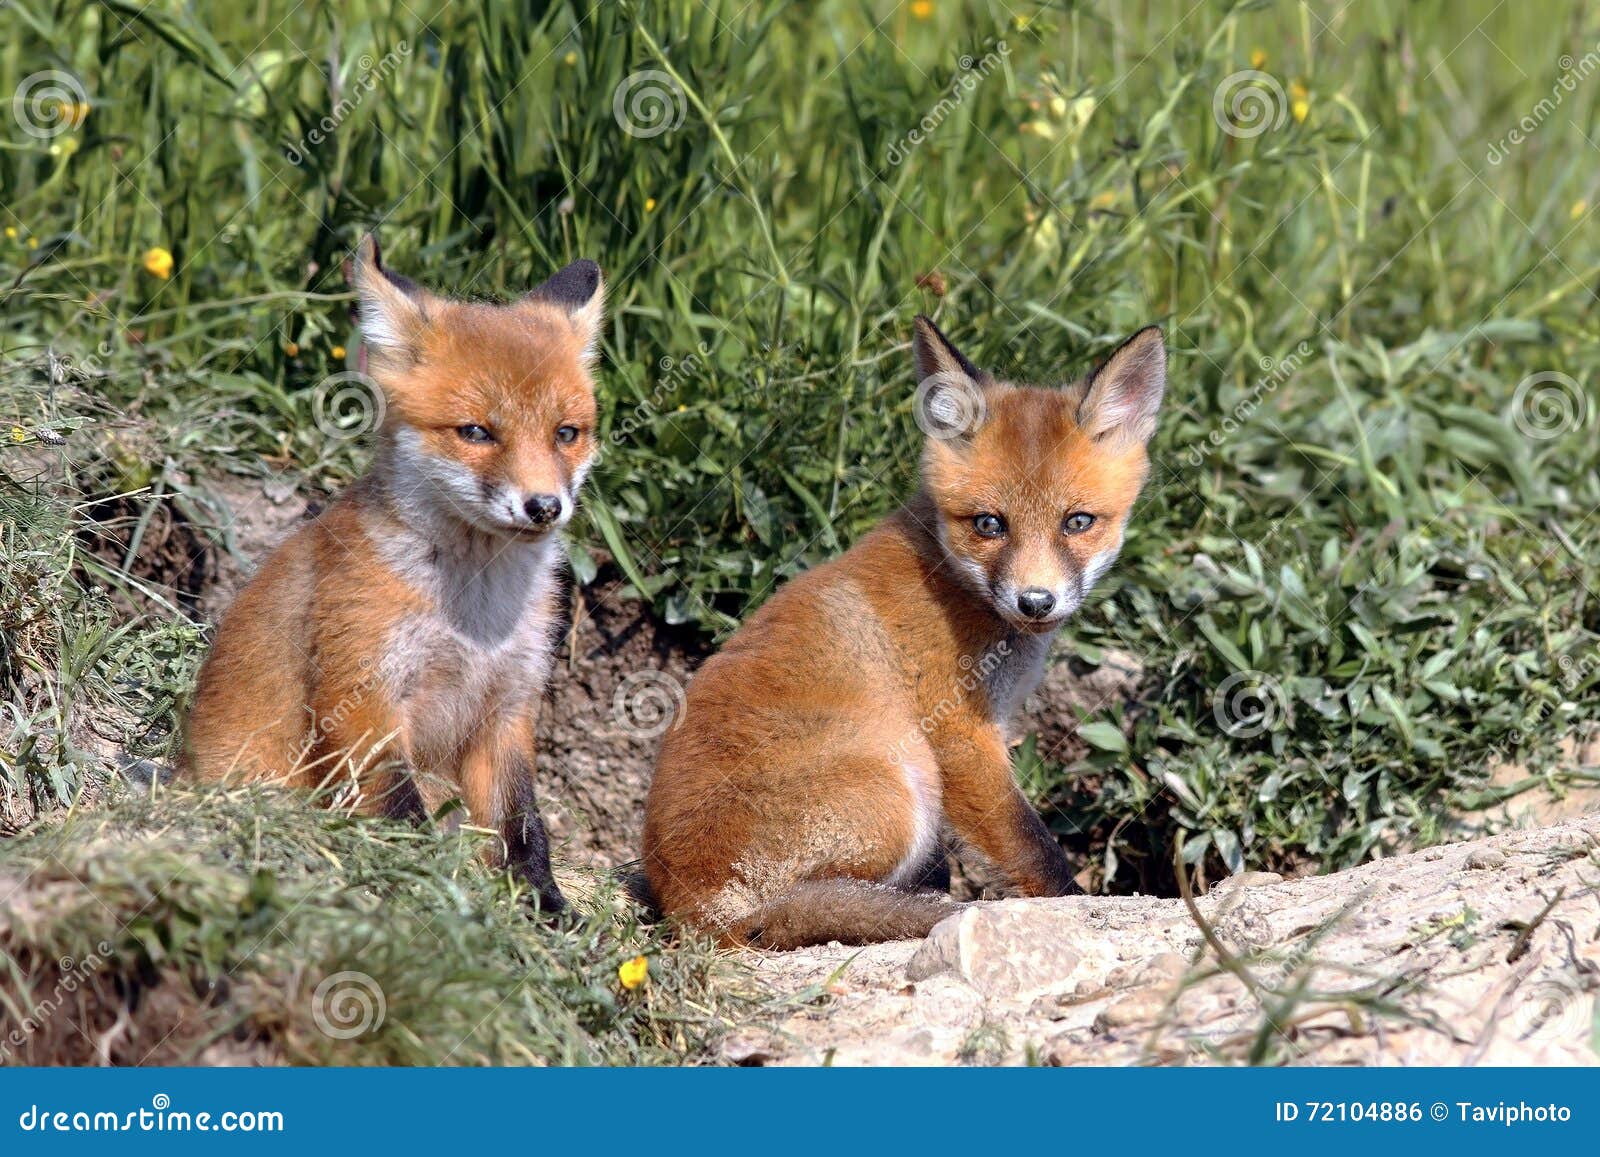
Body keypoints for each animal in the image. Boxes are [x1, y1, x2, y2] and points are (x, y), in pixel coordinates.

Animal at [182, 233, 604, 913]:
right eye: (476, 432)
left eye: (566, 433)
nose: (544, 507)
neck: (474, 621)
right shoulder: (362, 697)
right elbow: (401, 811)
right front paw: (425, 886)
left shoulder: (507, 708)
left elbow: (520, 825)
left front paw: (543, 906)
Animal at [642, 315, 1165, 948]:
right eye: (990, 524)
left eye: (1078, 522)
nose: (1035, 602)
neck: (956, 584)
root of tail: (694, 913)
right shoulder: (959, 733)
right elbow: (1034, 848)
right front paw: (1066, 904)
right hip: (901, 783)